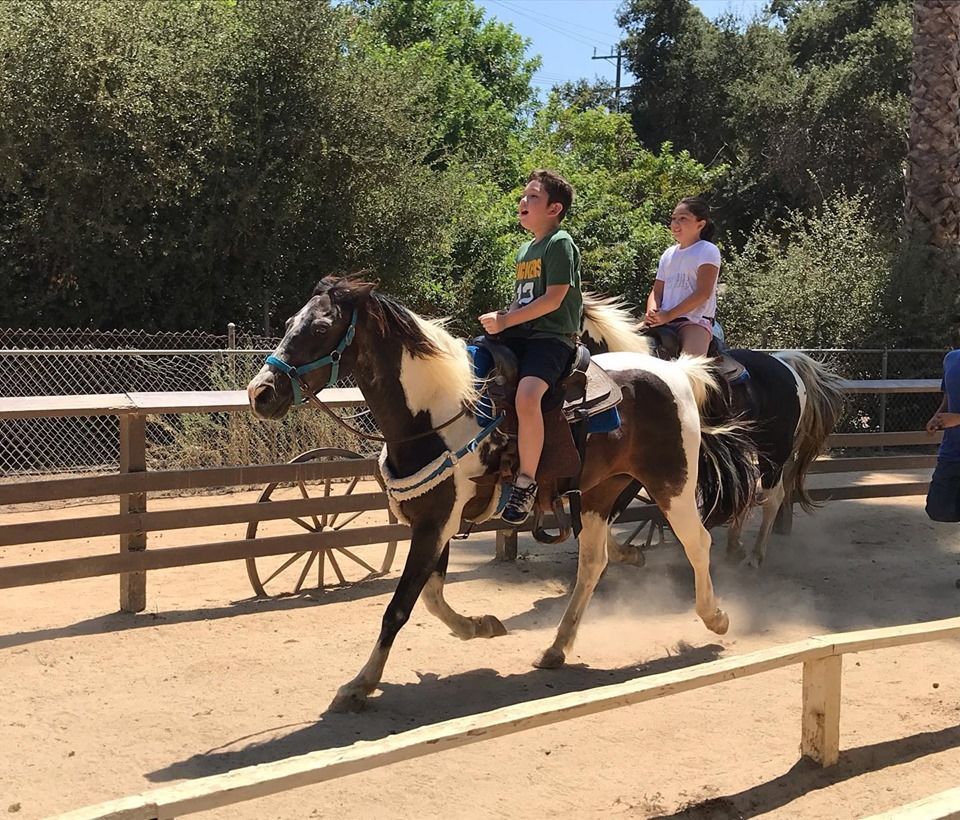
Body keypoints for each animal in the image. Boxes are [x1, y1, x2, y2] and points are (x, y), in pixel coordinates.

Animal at [247, 276, 758, 711]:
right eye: (289, 322)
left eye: (320, 327)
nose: (260, 392)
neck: (438, 413)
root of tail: (678, 374)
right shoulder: (436, 522)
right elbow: (431, 597)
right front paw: (481, 628)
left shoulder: (435, 523)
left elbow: (399, 607)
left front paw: (359, 685)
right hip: (599, 493)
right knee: (593, 564)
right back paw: (557, 647)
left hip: (672, 484)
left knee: (697, 542)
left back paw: (715, 617)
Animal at [580, 295, 846, 568]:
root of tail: (784, 362)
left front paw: (630, 553)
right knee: (746, 490)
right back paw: (734, 546)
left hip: (774, 451)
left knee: (772, 497)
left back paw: (756, 554)